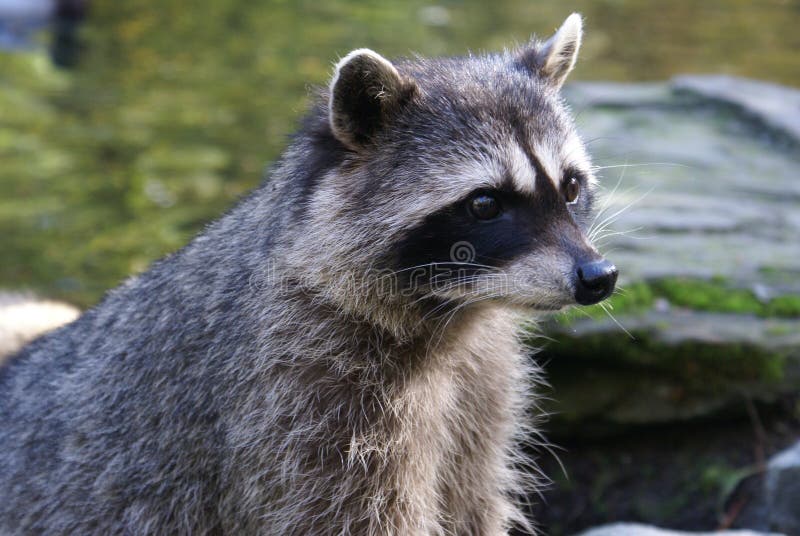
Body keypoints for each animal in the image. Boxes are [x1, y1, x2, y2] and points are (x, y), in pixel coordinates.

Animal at [0, 13, 616, 535]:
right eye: (485, 203)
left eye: (570, 187)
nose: (598, 276)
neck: (454, 307)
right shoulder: (301, 389)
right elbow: (343, 516)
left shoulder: (483, 388)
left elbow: (471, 499)